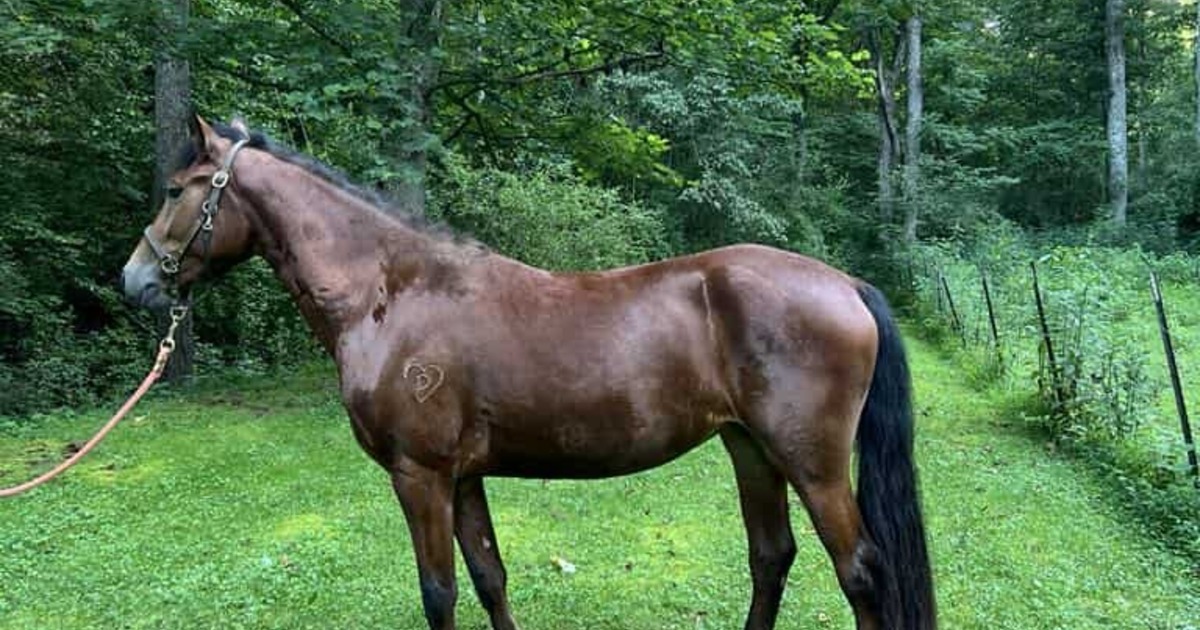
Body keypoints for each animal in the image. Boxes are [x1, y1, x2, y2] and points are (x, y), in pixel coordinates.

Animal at [121, 115, 936, 630]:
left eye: (175, 189)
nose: (134, 282)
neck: (391, 295)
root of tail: (846, 284)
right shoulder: (463, 477)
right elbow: (489, 579)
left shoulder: (419, 474)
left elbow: (439, 592)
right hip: (751, 450)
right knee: (772, 558)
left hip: (813, 464)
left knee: (861, 571)